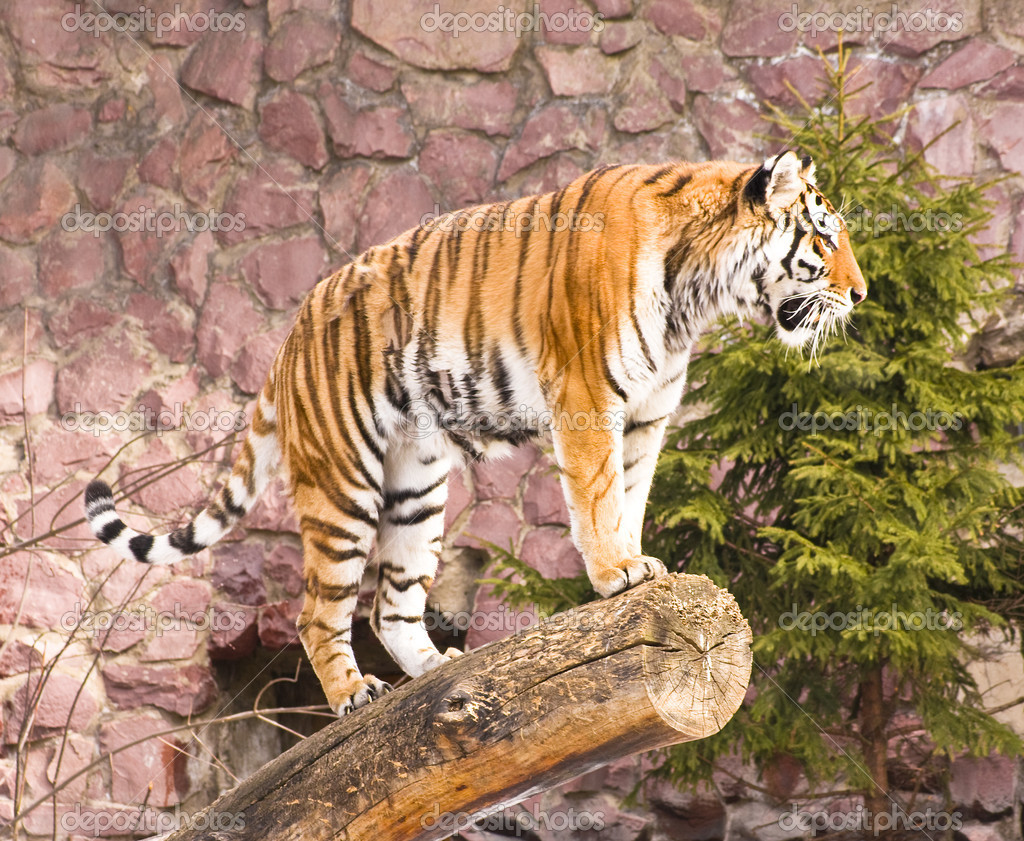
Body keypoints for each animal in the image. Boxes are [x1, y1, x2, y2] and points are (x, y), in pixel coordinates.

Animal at [85, 150, 866, 715]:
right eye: (823, 239)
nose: (860, 294)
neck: (695, 293)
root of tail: (289, 338)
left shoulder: (647, 413)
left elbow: (632, 493)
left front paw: (639, 565)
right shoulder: (588, 398)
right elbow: (598, 494)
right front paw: (616, 573)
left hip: (416, 486)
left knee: (391, 606)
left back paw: (441, 673)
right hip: (344, 483)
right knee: (319, 611)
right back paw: (353, 694)